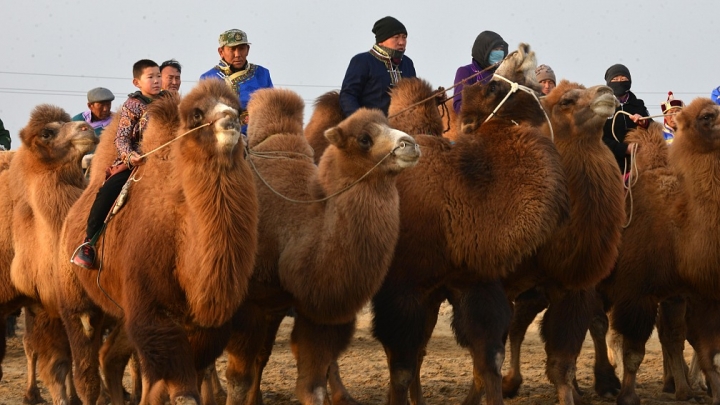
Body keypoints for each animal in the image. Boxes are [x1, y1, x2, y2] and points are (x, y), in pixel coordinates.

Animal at [57, 79, 259, 405]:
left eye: (238, 108)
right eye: (197, 114)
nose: (229, 119)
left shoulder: (202, 326)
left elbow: (175, 380)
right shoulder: (151, 309)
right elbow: (180, 390)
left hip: (121, 309)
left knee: (110, 357)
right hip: (75, 296)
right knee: (86, 361)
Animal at [220, 87, 420, 405]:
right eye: (364, 139)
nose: (409, 144)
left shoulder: (318, 312)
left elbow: (311, 385)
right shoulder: (246, 305)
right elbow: (238, 379)